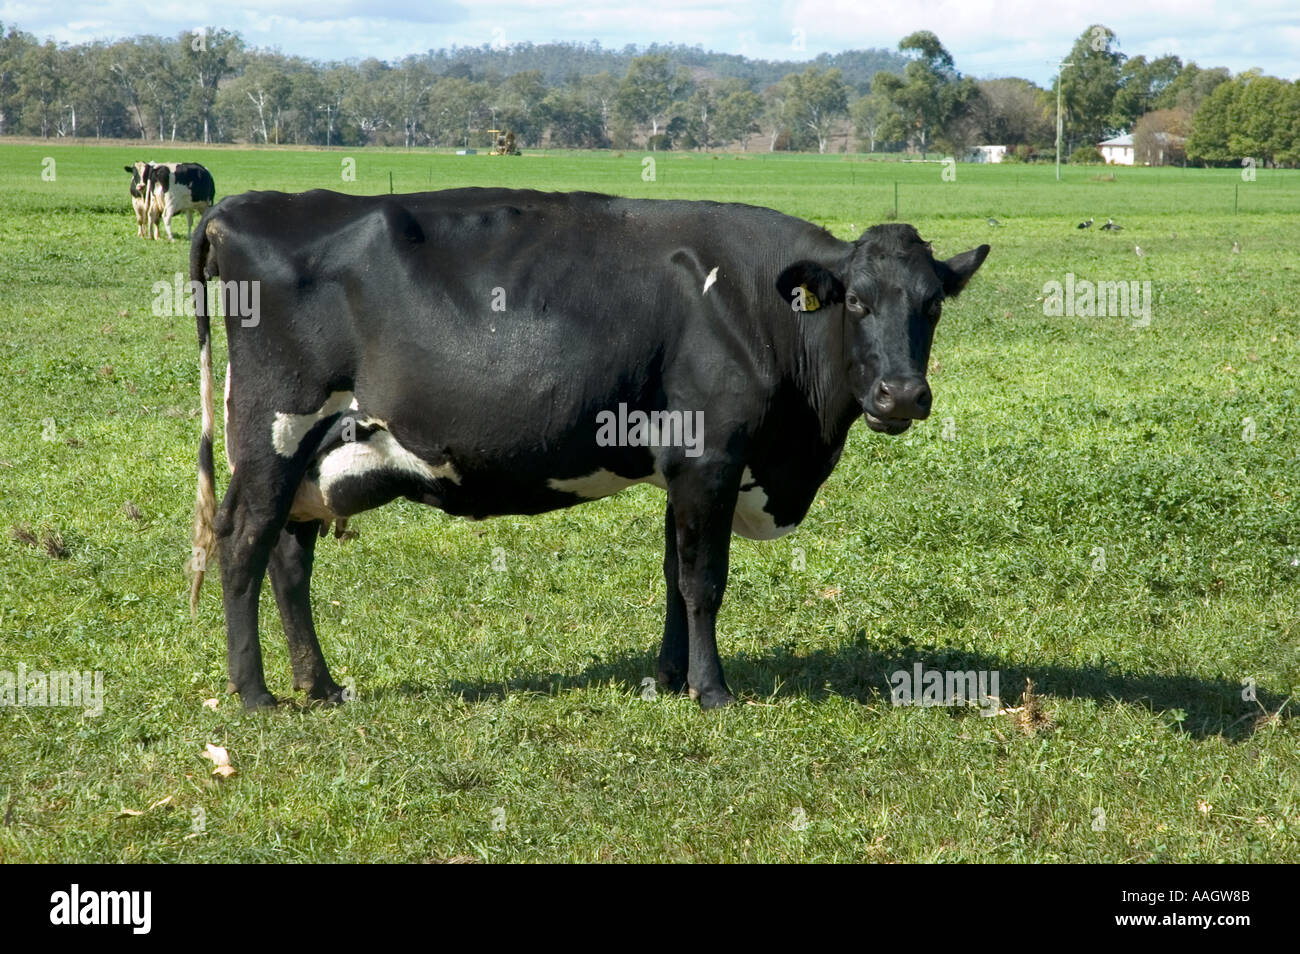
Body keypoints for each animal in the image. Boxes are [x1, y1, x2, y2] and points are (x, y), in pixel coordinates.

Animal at [186, 188, 989, 711]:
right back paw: (254, 693)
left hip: (314, 454)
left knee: (290, 556)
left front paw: (667, 679)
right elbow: (705, 582)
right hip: (273, 427)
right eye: (855, 301)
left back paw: (319, 686)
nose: (900, 395)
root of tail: (242, 207)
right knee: (245, 542)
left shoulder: (683, 467)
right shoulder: (711, 457)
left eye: (933, 305)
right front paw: (712, 691)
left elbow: (672, 575)